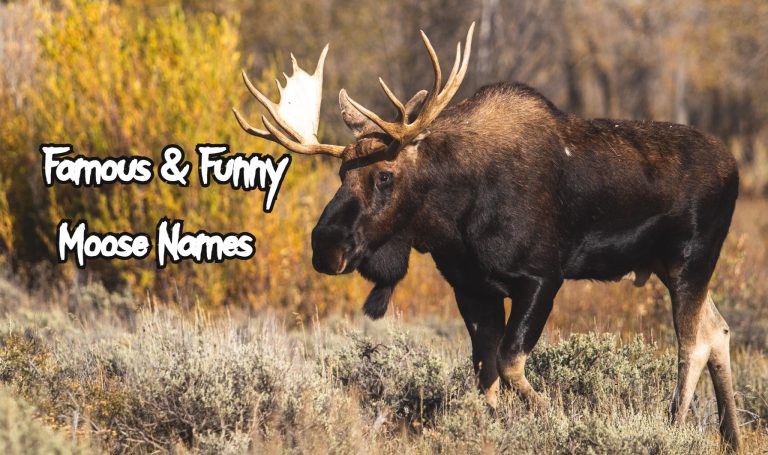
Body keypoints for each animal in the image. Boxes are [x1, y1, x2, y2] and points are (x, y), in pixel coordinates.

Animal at [233, 23, 741, 450]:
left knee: (691, 343)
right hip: (666, 265)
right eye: (342, 173)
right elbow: (486, 370)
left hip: (690, 260)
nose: (326, 245)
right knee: (717, 329)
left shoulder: (542, 277)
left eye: (385, 175)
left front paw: (554, 419)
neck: (452, 218)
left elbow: (511, 361)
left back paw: (674, 427)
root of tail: (734, 168)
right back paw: (730, 437)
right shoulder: (472, 287)